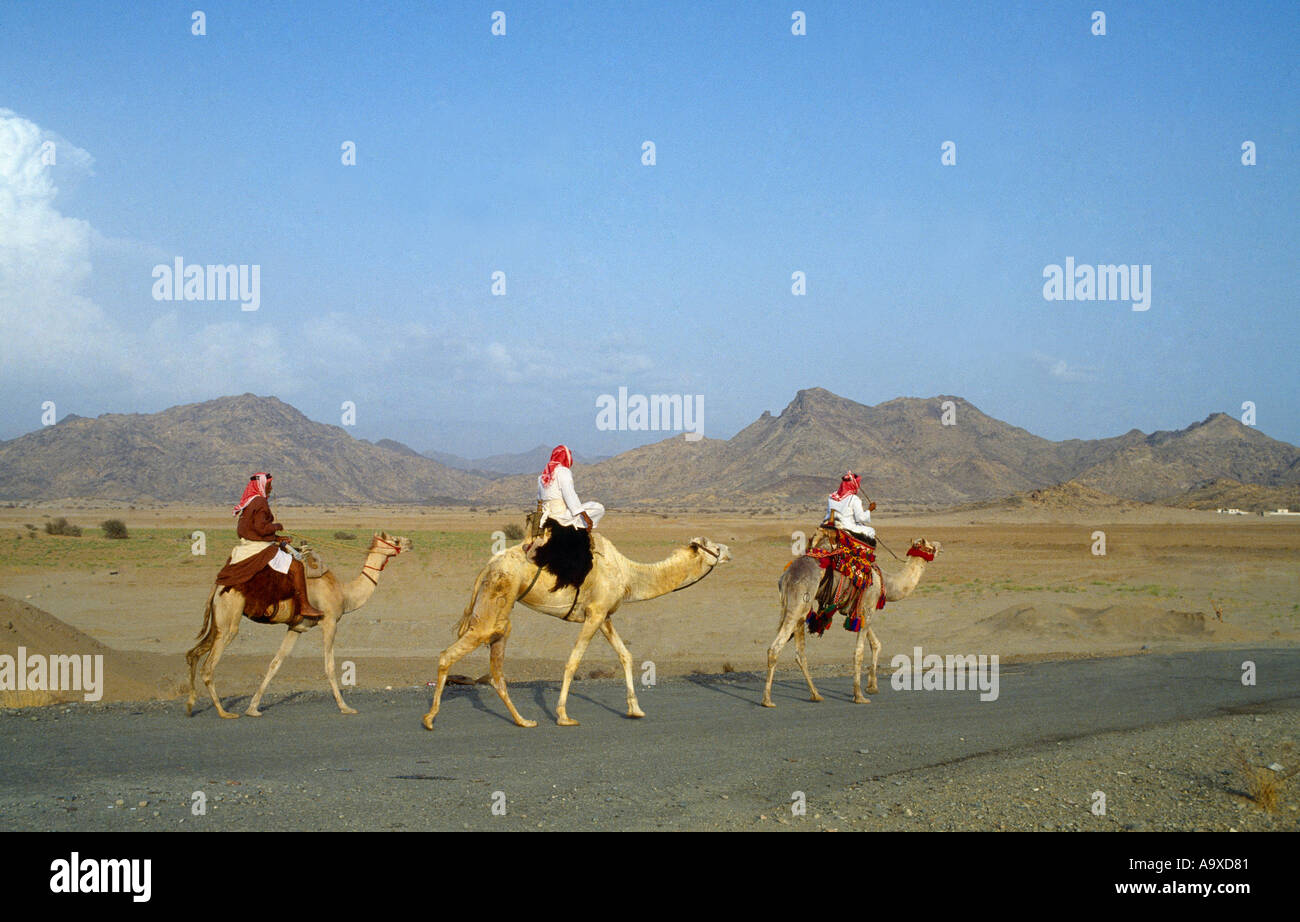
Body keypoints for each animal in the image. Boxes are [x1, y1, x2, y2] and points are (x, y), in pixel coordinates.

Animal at [185, 532, 411, 718]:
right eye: (395, 540)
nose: (410, 542)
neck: (344, 593)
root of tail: (218, 586)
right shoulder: (330, 622)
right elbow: (329, 666)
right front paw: (345, 707)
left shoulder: (295, 628)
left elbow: (275, 663)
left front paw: (253, 707)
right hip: (229, 620)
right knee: (208, 666)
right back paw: (223, 712)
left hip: (218, 621)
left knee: (193, 653)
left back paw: (191, 705)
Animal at [422, 533, 731, 729]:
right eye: (712, 546)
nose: (729, 551)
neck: (629, 575)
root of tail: (488, 565)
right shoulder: (594, 614)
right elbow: (573, 661)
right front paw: (563, 716)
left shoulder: (604, 616)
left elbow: (625, 655)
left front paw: (635, 710)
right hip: (497, 599)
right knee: (450, 653)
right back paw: (429, 719)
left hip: (500, 611)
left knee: (496, 670)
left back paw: (523, 721)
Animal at [762, 532, 940, 708]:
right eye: (930, 545)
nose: (940, 546)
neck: (886, 583)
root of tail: (786, 577)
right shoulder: (869, 606)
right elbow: (859, 652)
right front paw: (859, 696)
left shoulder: (856, 611)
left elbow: (876, 644)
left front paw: (872, 687)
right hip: (799, 601)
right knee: (775, 648)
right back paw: (767, 700)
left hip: (800, 609)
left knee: (799, 652)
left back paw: (816, 695)